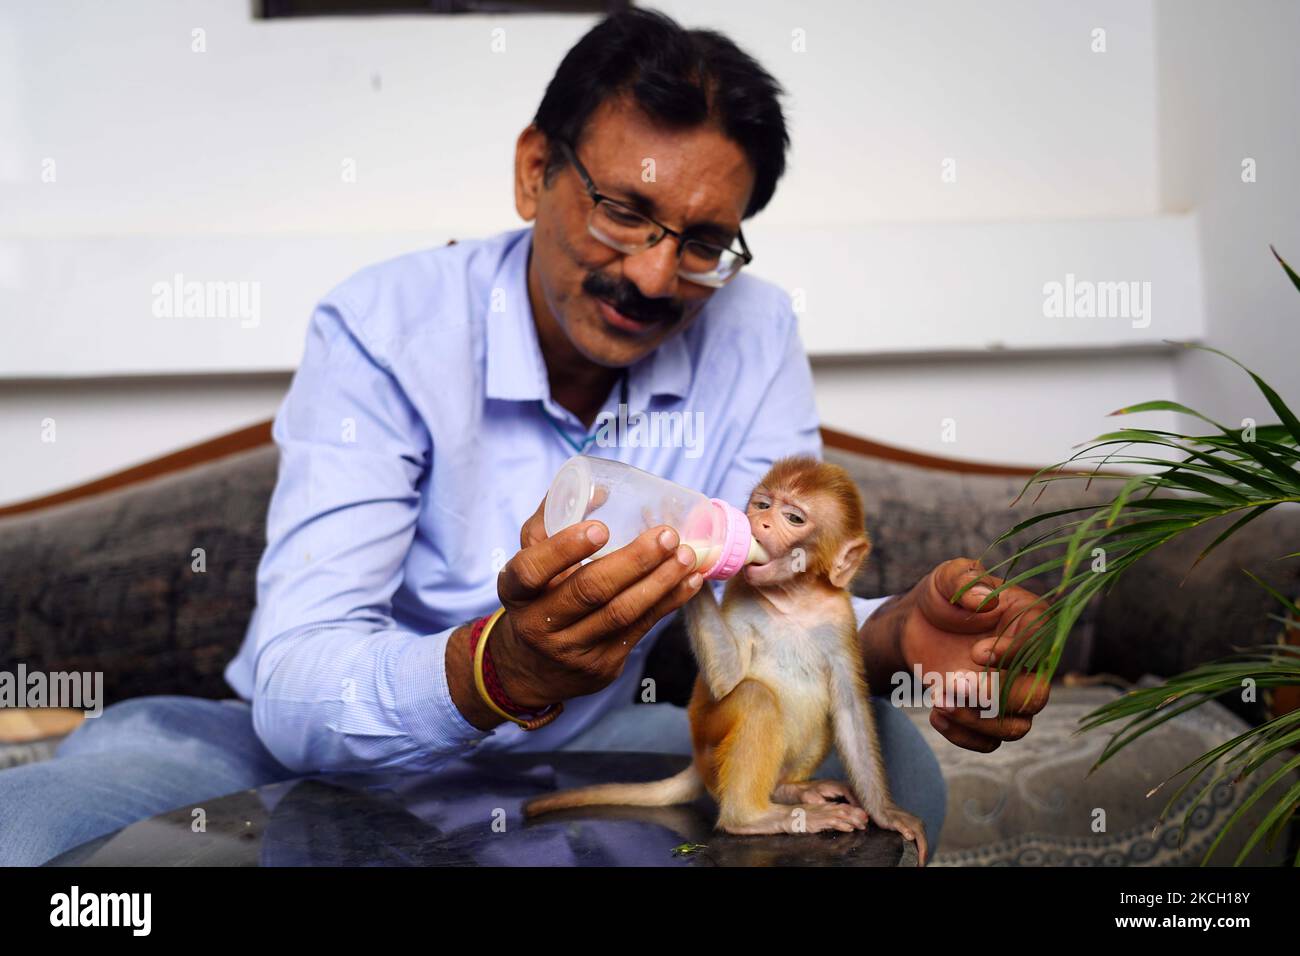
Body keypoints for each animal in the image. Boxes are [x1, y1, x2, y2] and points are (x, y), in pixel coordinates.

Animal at [524, 456, 929, 865]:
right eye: (763, 504)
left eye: (793, 518)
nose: (759, 523)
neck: (793, 599)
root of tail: (697, 760)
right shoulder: (744, 591)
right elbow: (728, 678)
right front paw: (687, 555)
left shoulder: (839, 618)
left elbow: (849, 707)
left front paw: (885, 812)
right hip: (709, 740)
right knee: (756, 698)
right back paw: (752, 817)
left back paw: (788, 791)